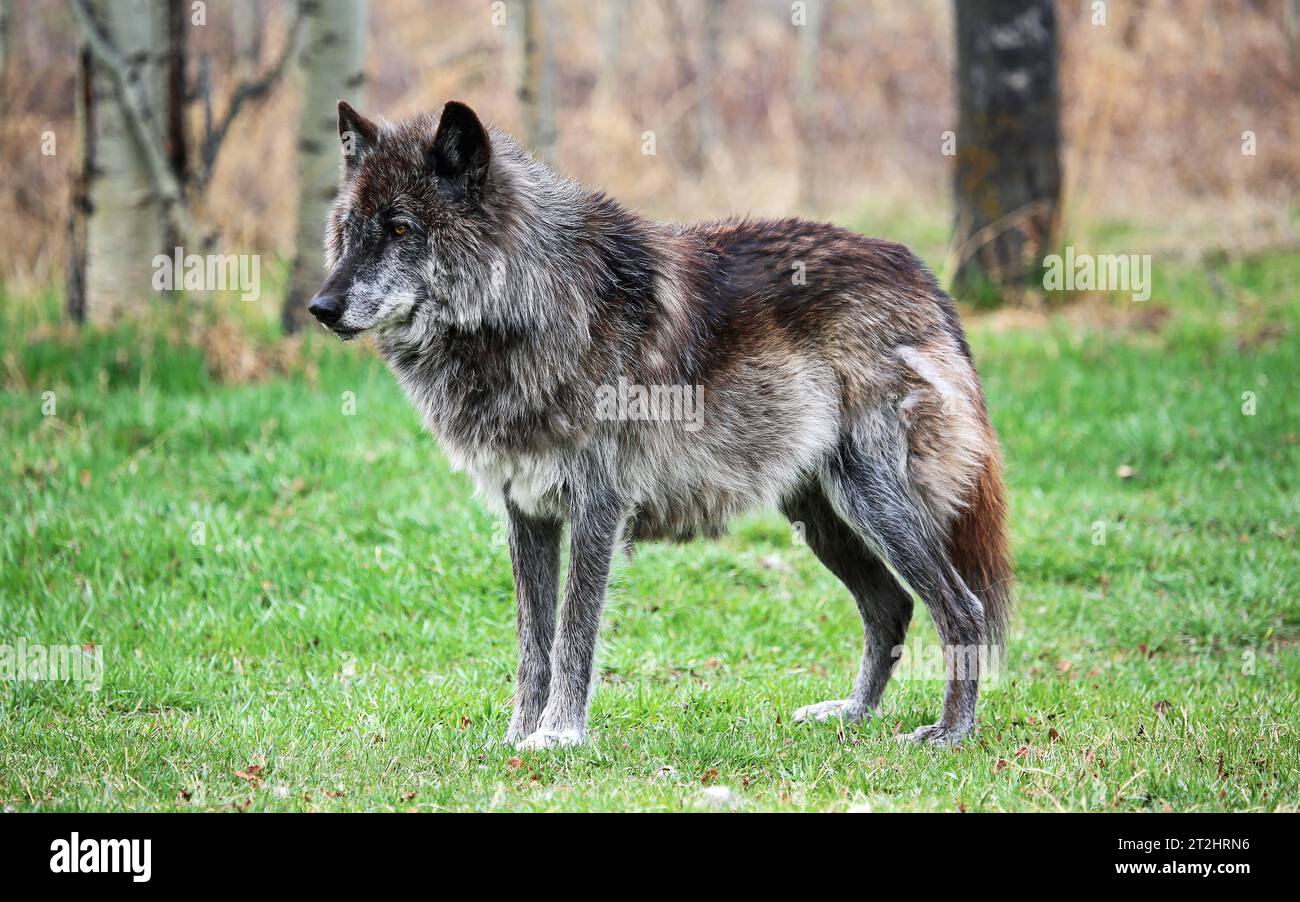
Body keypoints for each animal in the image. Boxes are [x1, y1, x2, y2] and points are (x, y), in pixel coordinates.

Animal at [309, 100, 1012, 749]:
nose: (321, 307)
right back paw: (851, 715)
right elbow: (532, 644)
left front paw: (559, 736)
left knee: (963, 609)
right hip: (820, 515)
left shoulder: (598, 506)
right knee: (891, 607)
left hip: (874, 504)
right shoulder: (526, 512)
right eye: (348, 230)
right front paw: (516, 738)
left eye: (401, 227)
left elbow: (573, 633)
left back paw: (951, 733)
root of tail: (925, 279)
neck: (533, 305)